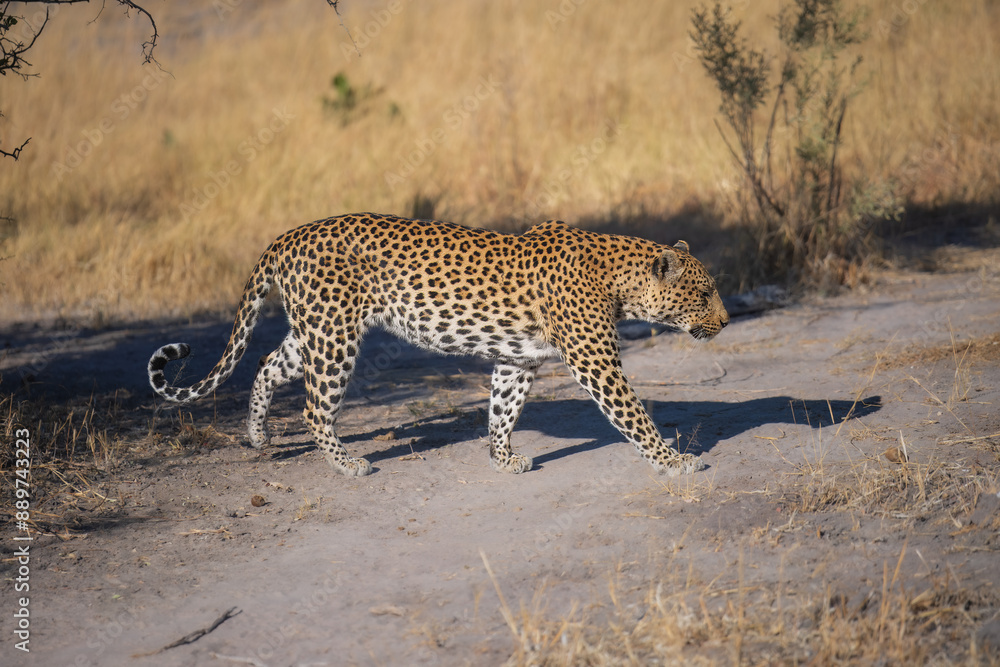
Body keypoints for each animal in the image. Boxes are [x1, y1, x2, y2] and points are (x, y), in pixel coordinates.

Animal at [148, 213, 729, 478]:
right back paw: (348, 464)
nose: (726, 320)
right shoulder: (596, 361)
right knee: (315, 407)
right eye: (704, 292)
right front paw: (674, 459)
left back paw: (258, 435)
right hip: (335, 336)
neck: (619, 278)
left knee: (268, 364)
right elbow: (634, 414)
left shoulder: (517, 359)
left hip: (314, 329)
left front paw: (503, 458)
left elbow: (502, 409)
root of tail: (286, 236)